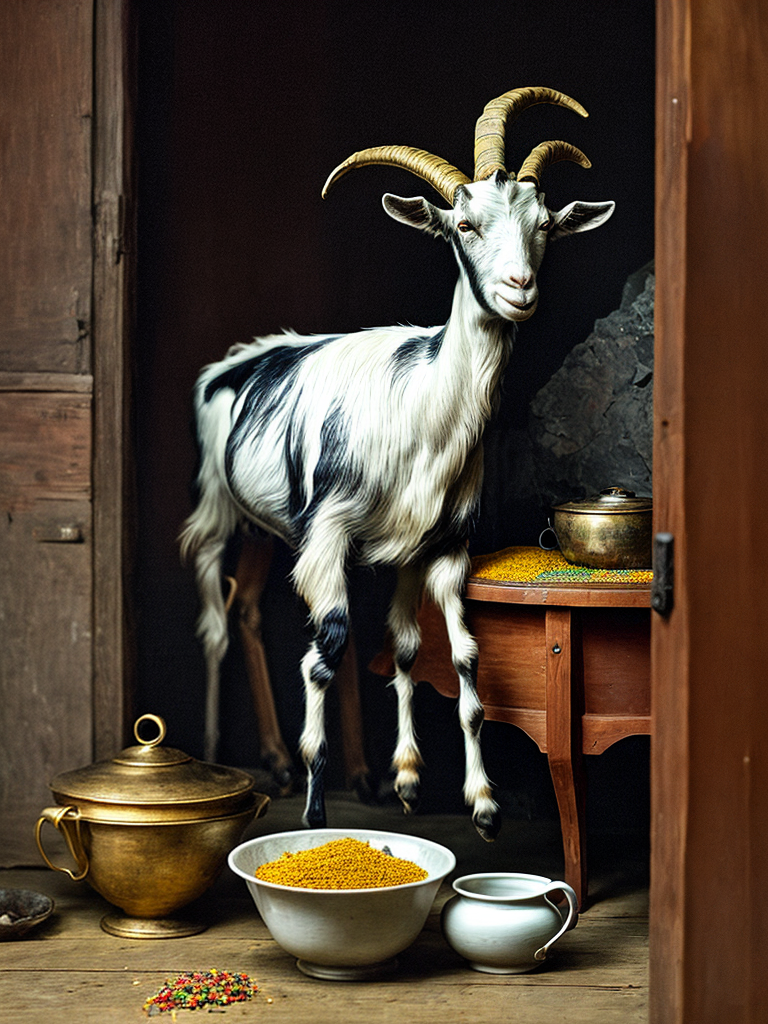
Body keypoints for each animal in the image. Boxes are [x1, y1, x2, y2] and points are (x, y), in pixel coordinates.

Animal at [180, 86, 615, 841]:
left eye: (543, 225)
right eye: (463, 224)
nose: (519, 287)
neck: (422, 410)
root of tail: (237, 359)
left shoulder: (437, 543)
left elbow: (438, 653)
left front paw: (462, 797)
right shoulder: (328, 529)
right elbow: (325, 649)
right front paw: (316, 817)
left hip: (276, 526)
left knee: (250, 607)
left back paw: (309, 765)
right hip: (219, 504)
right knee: (215, 614)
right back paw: (219, 753)